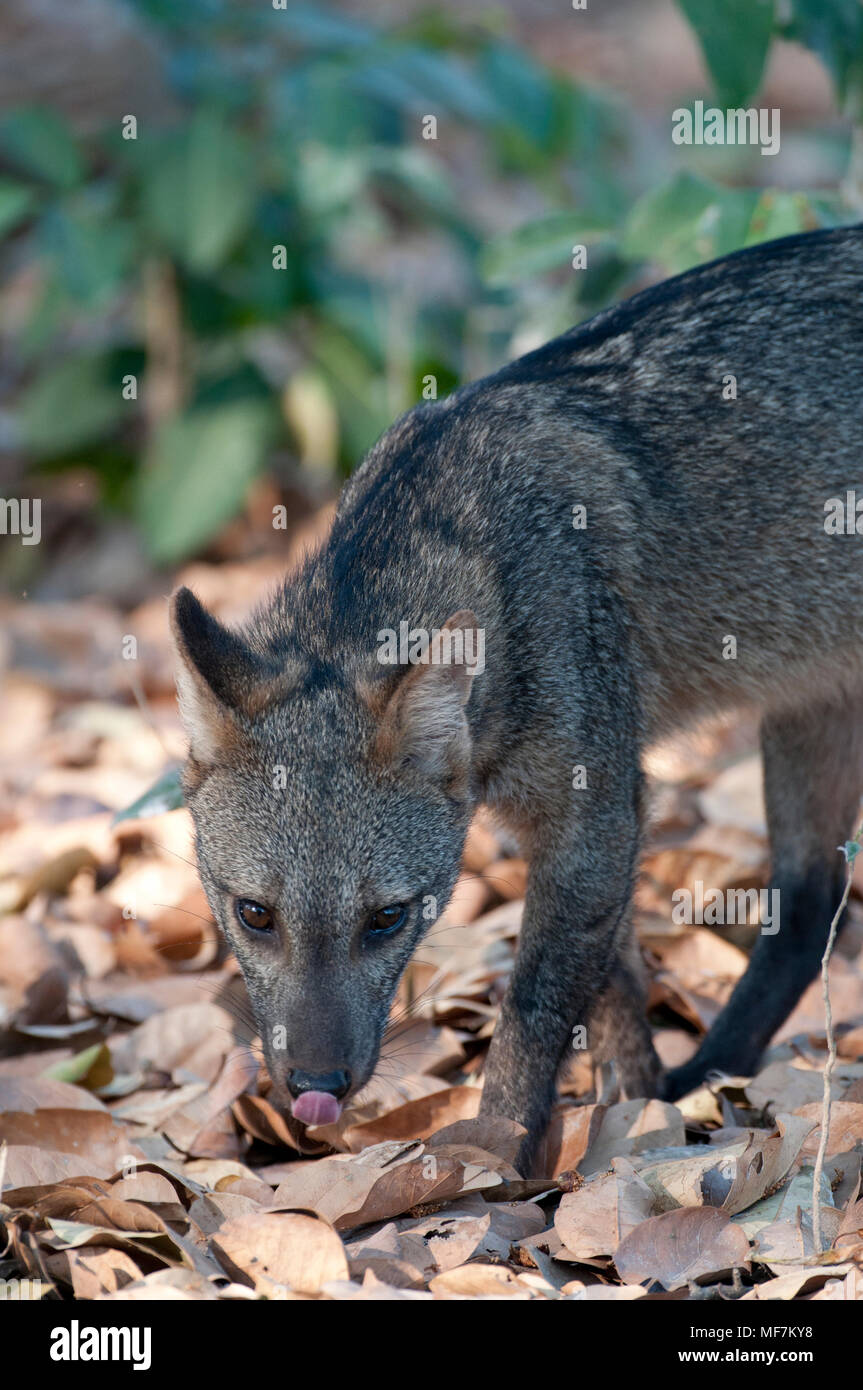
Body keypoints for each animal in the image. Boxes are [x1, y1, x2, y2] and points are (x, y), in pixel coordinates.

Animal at [170, 223, 863, 1172]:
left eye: (386, 918)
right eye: (254, 915)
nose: (316, 1087)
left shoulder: (592, 810)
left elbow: (535, 1009)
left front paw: (497, 1157)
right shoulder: (593, 822)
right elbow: (610, 990)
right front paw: (634, 1106)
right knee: (806, 909)